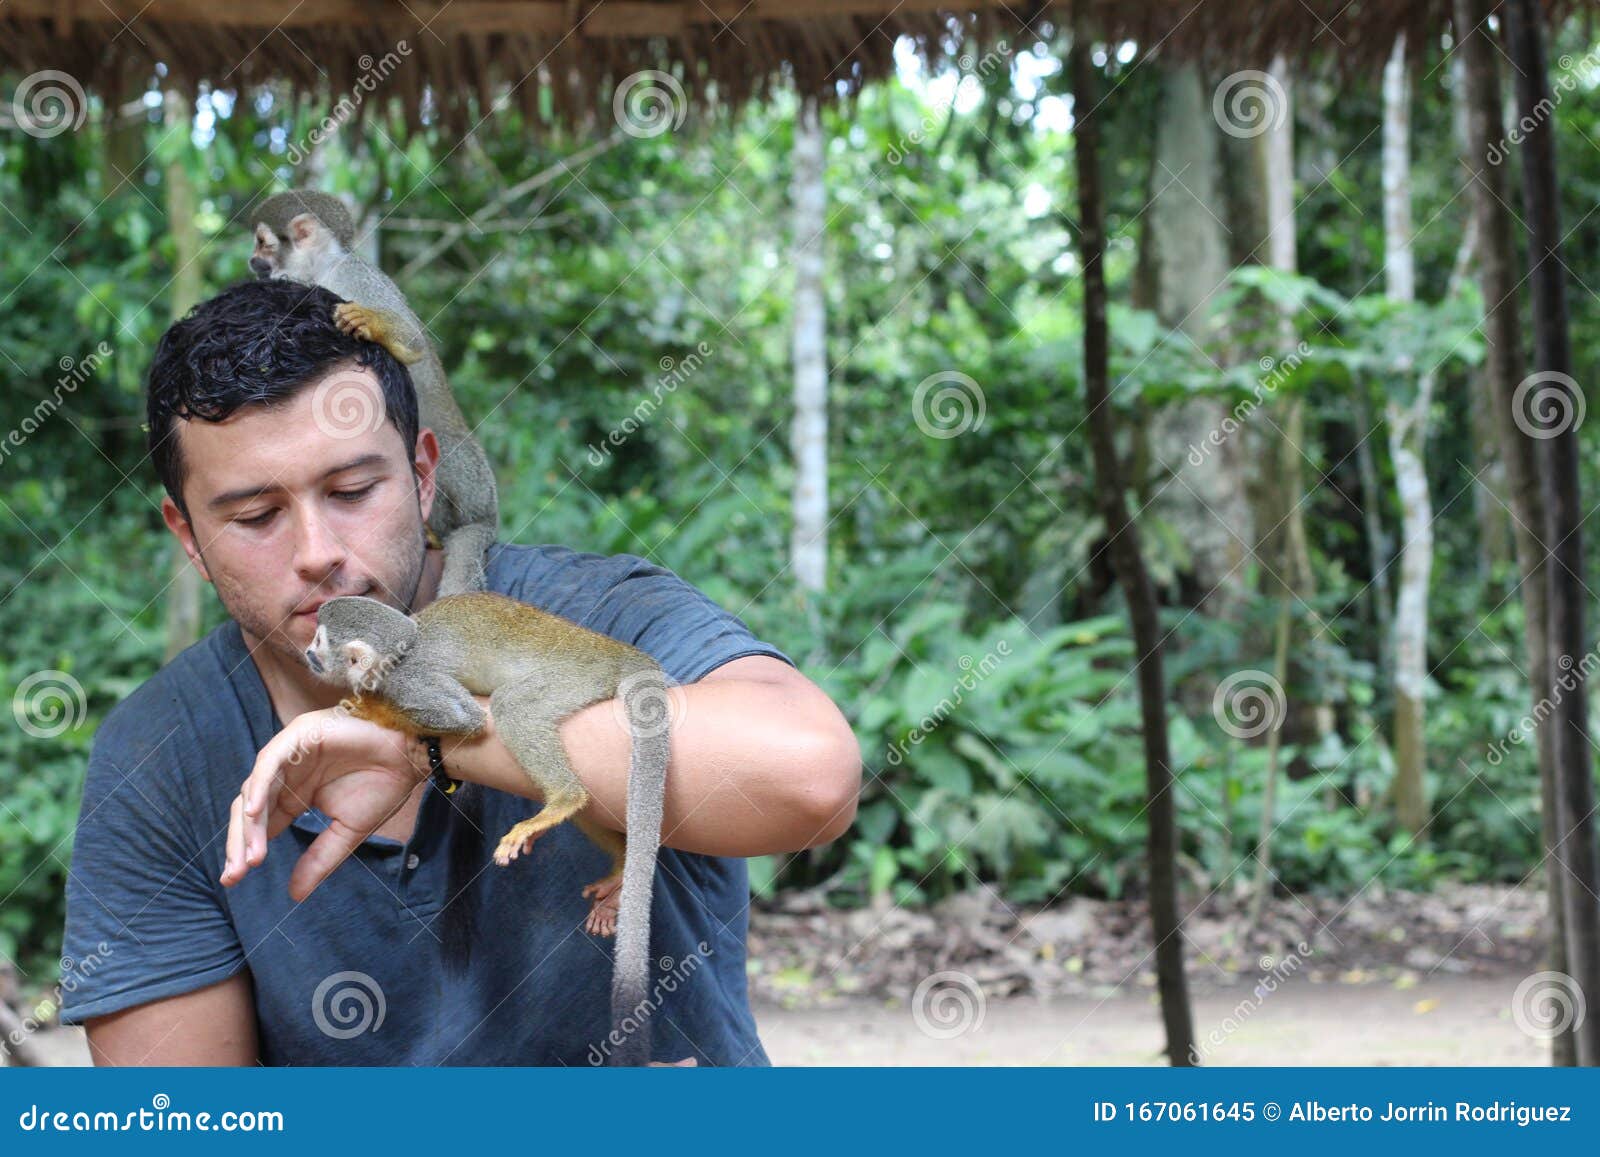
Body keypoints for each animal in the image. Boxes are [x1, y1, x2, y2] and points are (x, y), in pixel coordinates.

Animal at [250, 190, 499, 597]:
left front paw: (373, 323)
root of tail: (486, 514)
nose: (252, 261)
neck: (325, 270)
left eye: (262, 243)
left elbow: (413, 341)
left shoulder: (356, 275)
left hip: (468, 481)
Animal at [303, 590, 671, 1067]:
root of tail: (623, 653)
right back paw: (619, 864)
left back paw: (564, 799)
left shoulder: (409, 681)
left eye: (319, 640)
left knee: (512, 707)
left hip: (576, 679)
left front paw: (374, 710)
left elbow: (466, 720)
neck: (400, 651)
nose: (307, 653)